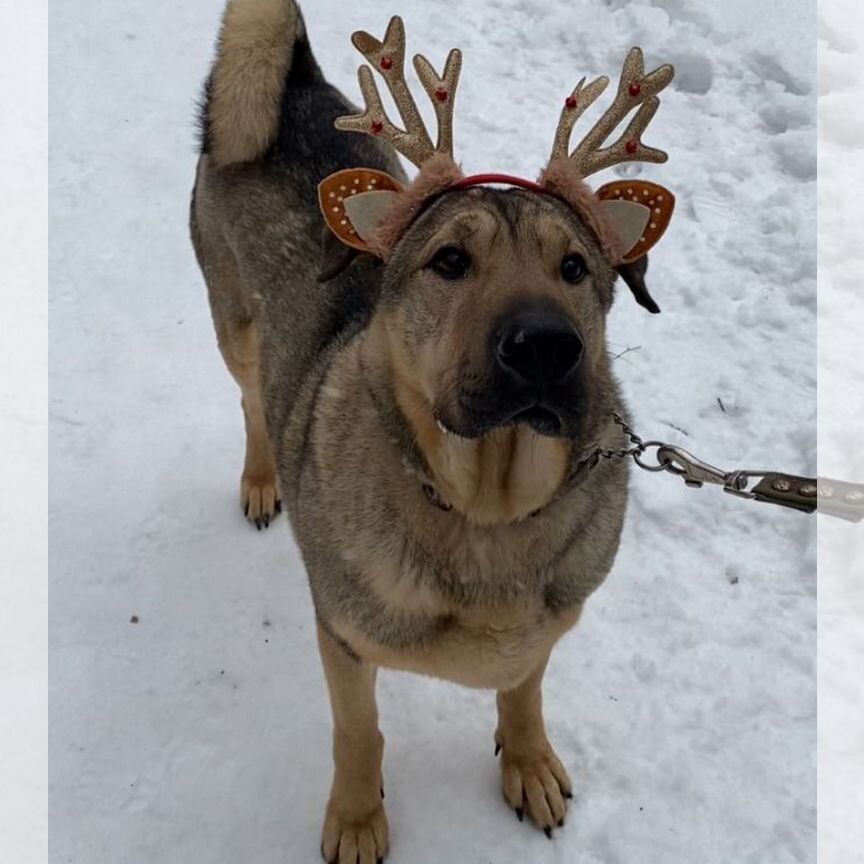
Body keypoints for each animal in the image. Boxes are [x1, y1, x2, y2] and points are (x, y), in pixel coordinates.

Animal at [191, 3, 676, 860]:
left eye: (576, 268)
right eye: (449, 261)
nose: (545, 346)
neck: (485, 506)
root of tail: (295, 85)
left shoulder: (545, 624)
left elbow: (523, 691)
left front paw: (528, 762)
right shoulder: (345, 635)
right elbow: (359, 734)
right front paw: (357, 818)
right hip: (236, 320)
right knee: (254, 402)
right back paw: (261, 478)